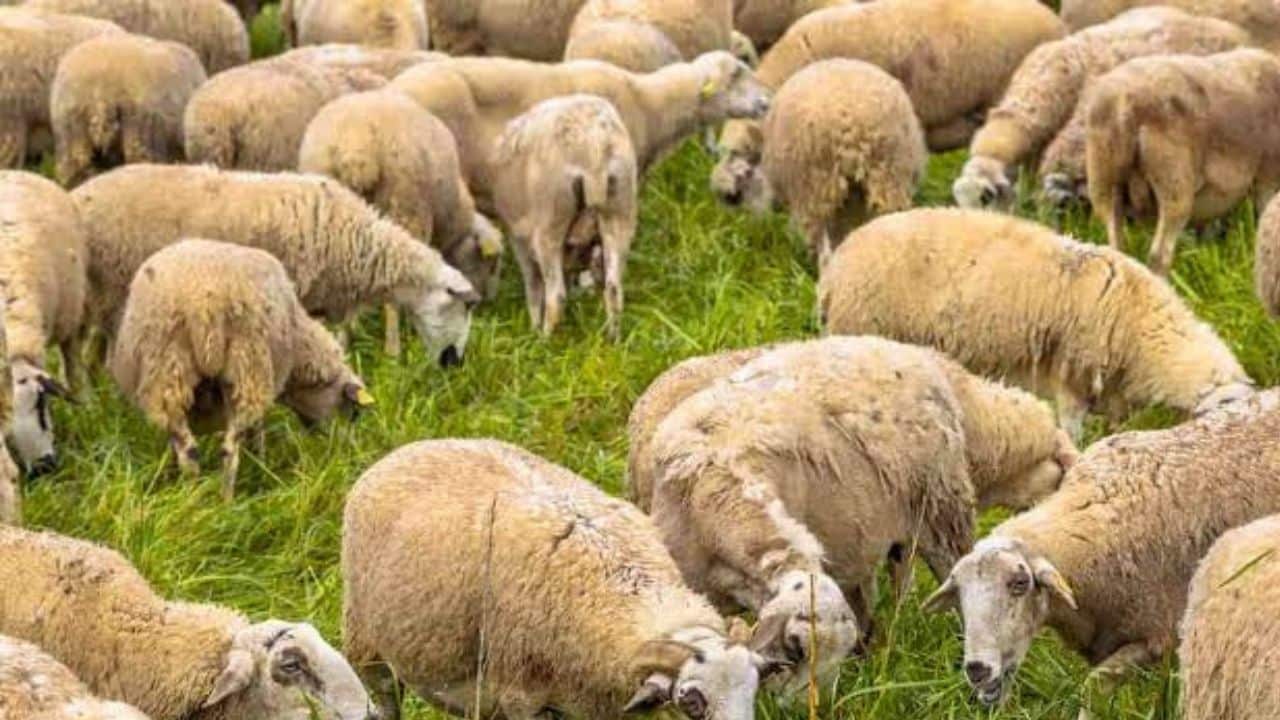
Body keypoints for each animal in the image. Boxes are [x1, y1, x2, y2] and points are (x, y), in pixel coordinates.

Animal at [111, 239, 372, 498]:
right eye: (353, 413)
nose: (348, 455)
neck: (299, 350)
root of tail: (204, 306)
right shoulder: (266, 378)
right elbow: (258, 429)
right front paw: (261, 463)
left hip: (173, 369)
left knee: (196, 450)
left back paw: (194, 496)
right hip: (240, 368)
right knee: (226, 449)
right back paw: (225, 499)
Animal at [490, 95, 636, 338]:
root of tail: (593, 145)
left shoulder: (518, 235)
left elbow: (533, 284)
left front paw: (533, 327)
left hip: (551, 217)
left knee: (556, 295)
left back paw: (545, 339)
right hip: (620, 206)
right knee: (614, 288)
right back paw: (612, 338)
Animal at [710, 58, 925, 266]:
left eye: (733, 197)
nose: (749, 231)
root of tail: (851, 127)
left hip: (815, 193)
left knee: (823, 252)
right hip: (889, 178)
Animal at [1085, 49, 1280, 277]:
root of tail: (1123, 105)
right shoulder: (1267, 176)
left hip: (1103, 179)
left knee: (1116, 246)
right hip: (1174, 183)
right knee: (1159, 255)